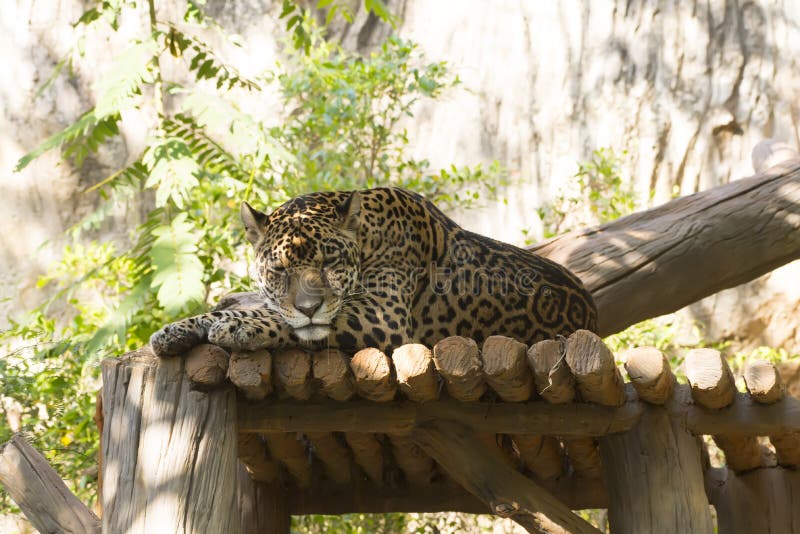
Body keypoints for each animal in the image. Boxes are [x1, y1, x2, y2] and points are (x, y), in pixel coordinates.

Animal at [150, 187, 597, 358]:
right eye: (278, 269)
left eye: (330, 263)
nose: (309, 307)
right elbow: (258, 307)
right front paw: (174, 330)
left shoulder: (383, 316)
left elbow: (280, 321)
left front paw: (237, 327)